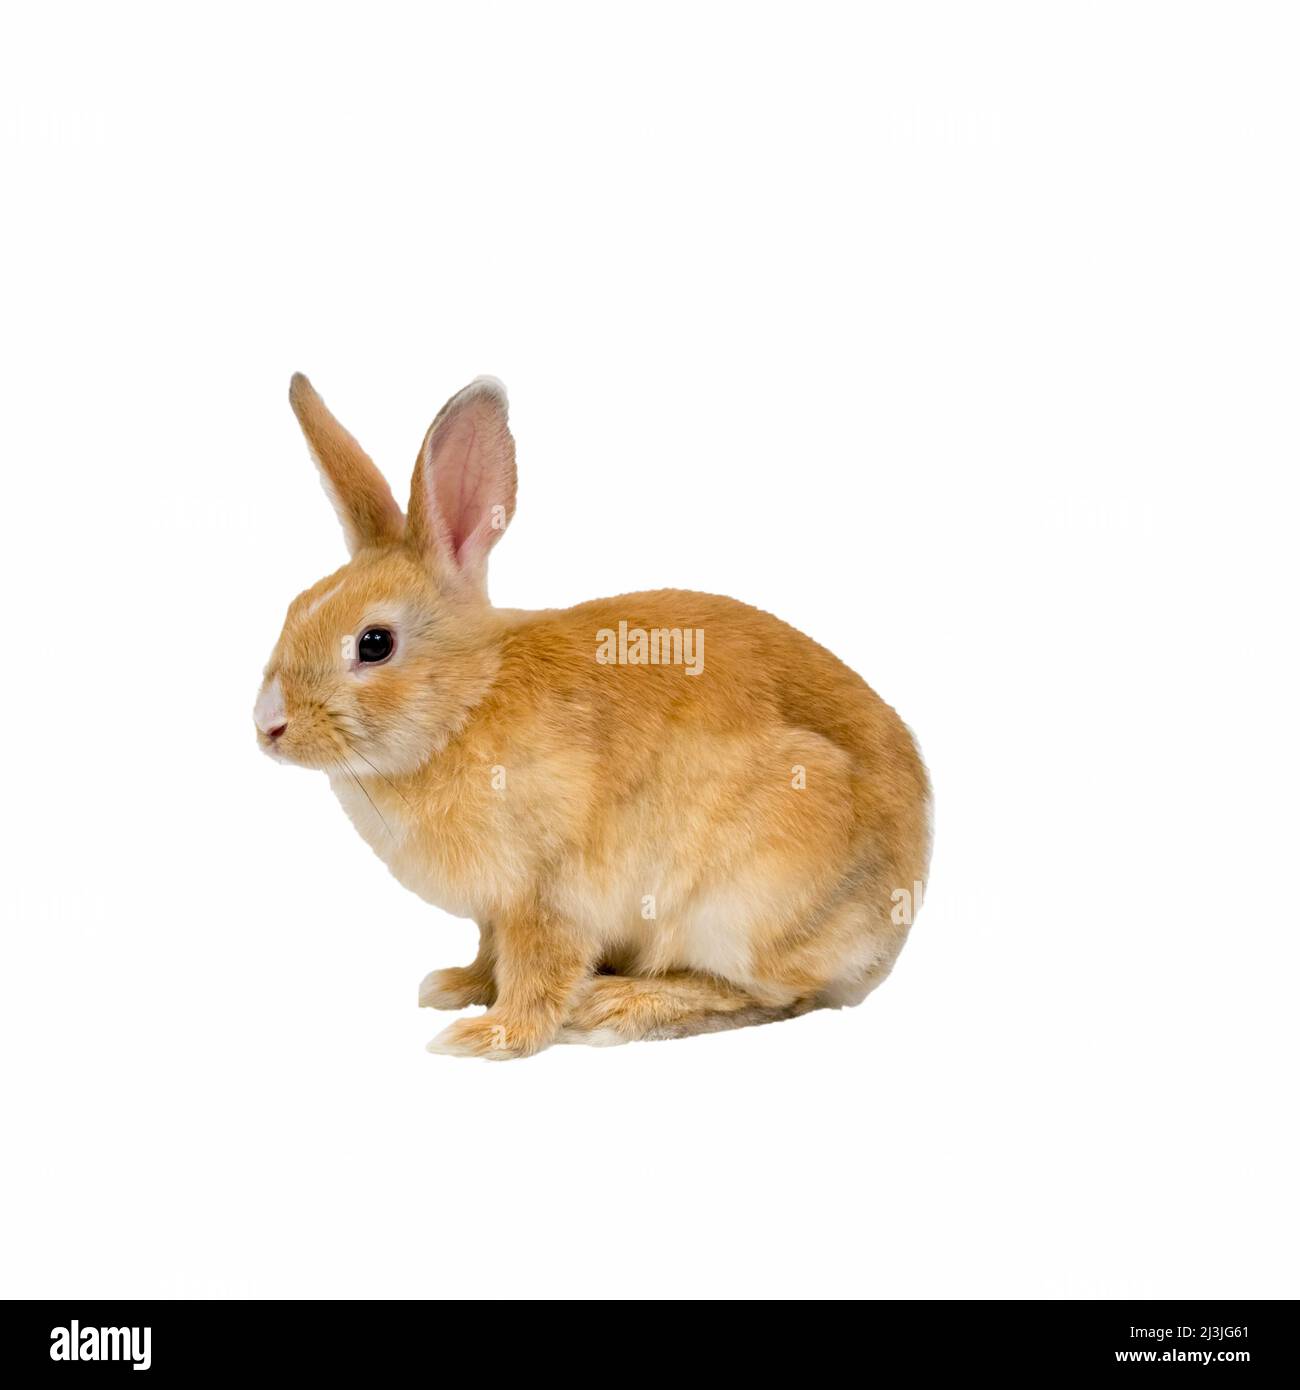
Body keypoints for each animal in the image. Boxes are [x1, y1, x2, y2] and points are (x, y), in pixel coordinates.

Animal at [254, 374, 931, 1058]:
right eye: (295, 607)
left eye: (374, 644)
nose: (267, 725)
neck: (467, 705)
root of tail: (890, 928)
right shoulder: (496, 911)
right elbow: (490, 953)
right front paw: (455, 987)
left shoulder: (548, 896)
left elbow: (538, 971)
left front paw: (488, 1035)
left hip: (743, 902)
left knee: (773, 996)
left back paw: (618, 1008)